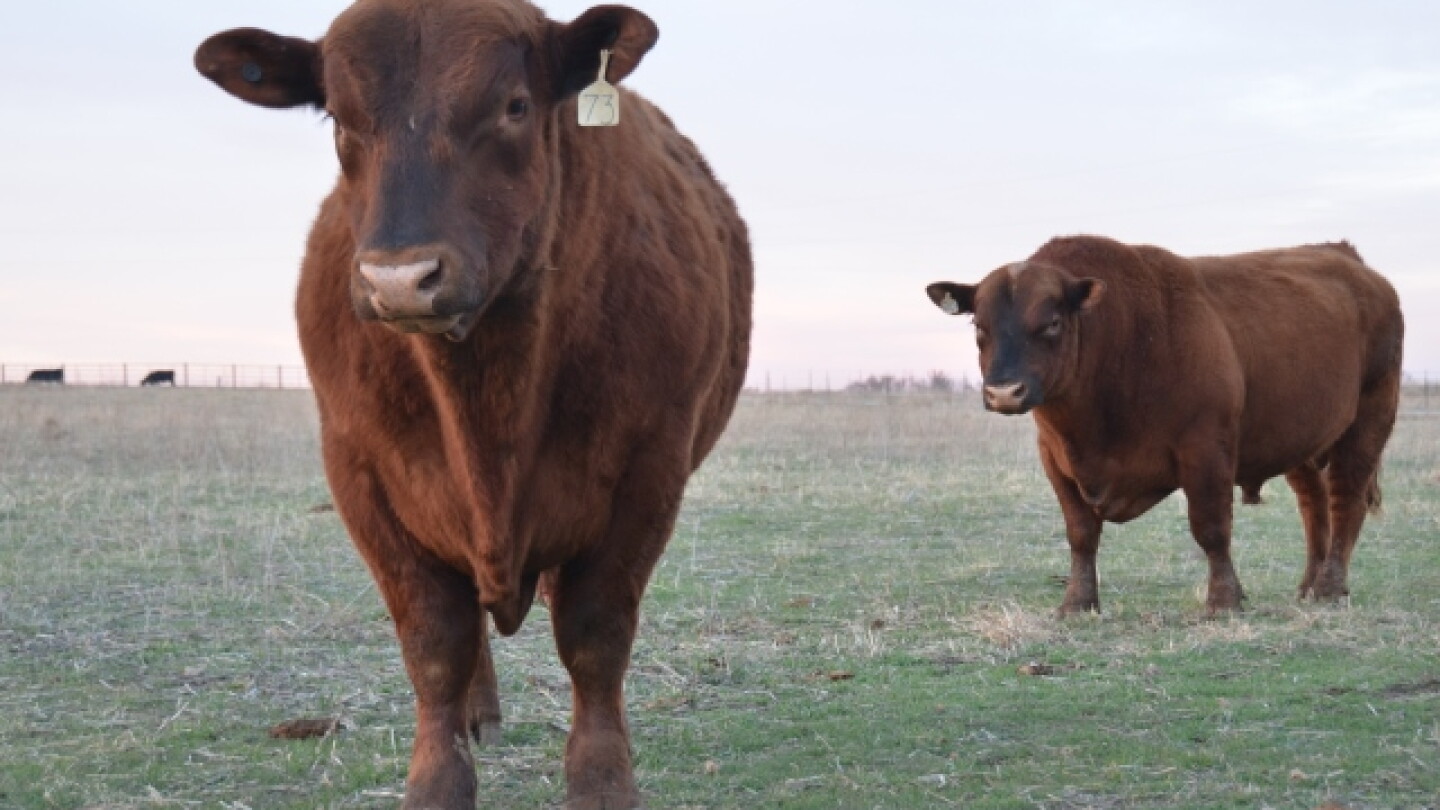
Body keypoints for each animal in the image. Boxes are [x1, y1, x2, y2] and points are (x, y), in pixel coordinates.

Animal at [194, 2, 752, 808]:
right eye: (338, 117)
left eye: (514, 106)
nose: (399, 279)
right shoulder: (360, 475)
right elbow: (436, 643)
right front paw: (437, 779)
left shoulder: (650, 471)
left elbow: (596, 637)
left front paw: (602, 780)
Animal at [926, 236, 1402, 616]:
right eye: (979, 325)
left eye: (1052, 323)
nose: (1005, 392)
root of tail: (1345, 257)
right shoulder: (1055, 459)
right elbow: (1081, 533)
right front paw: (1078, 603)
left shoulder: (1206, 450)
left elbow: (1211, 527)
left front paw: (1223, 601)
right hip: (1301, 442)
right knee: (1314, 506)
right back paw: (1308, 586)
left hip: (1369, 421)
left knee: (1346, 500)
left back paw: (1330, 588)